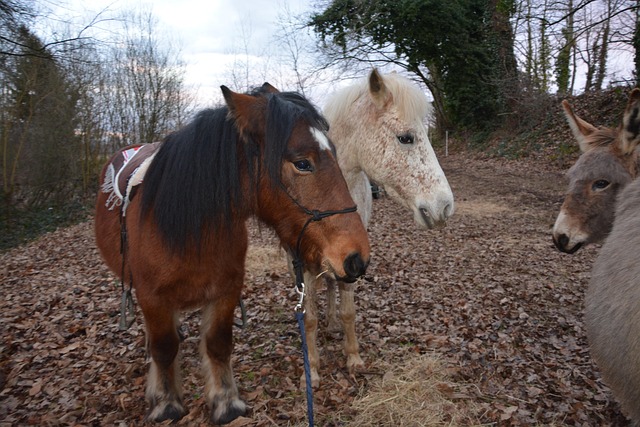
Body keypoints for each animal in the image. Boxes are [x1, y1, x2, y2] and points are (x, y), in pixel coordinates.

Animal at [94, 84, 370, 424]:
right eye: (303, 163)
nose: (357, 256)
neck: (191, 230)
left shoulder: (226, 292)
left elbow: (218, 344)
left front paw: (226, 402)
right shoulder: (152, 297)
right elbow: (164, 348)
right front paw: (166, 402)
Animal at [294, 69, 455, 387]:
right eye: (405, 138)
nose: (444, 207)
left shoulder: (352, 256)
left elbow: (348, 310)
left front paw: (353, 357)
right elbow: (309, 318)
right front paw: (313, 370)